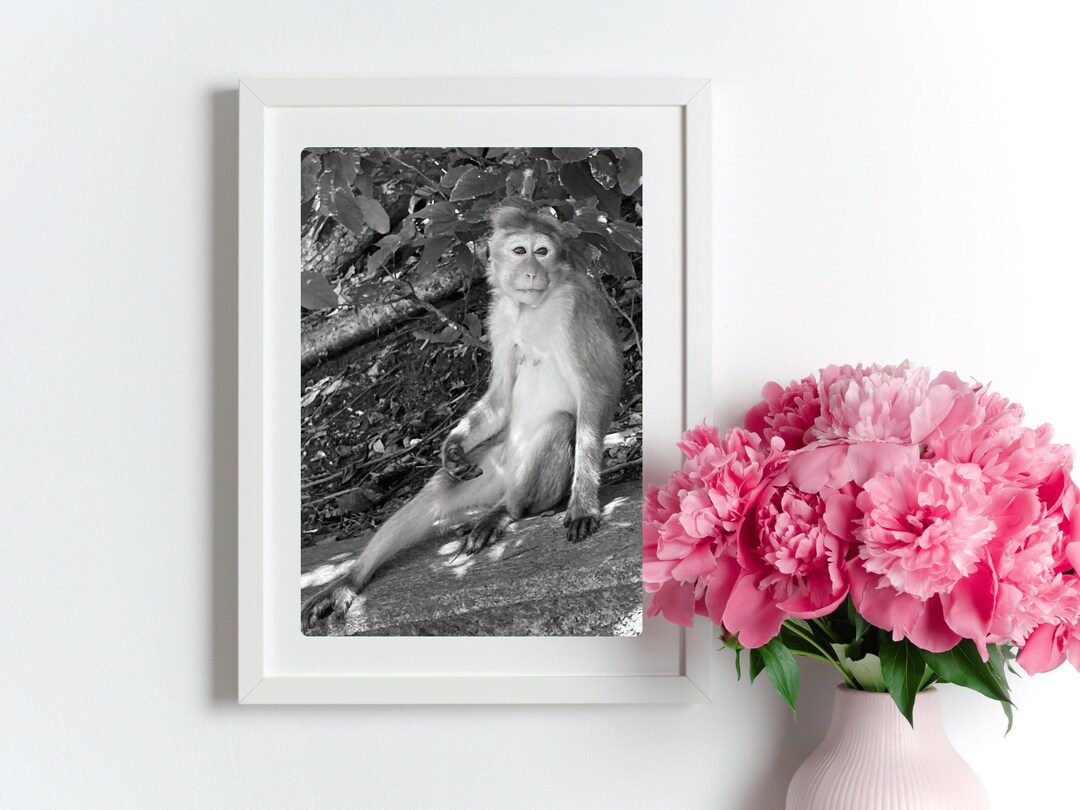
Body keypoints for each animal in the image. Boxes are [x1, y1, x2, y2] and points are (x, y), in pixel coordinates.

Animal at [301, 205, 624, 631]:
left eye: (543, 251)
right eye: (521, 251)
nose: (532, 272)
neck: (531, 309)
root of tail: (507, 481)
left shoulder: (577, 308)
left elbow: (599, 389)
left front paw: (584, 504)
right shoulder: (499, 317)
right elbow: (500, 395)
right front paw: (452, 448)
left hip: (530, 482)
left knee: (559, 427)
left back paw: (505, 512)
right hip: (492, 467)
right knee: (439, 490)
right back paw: (350, 580)